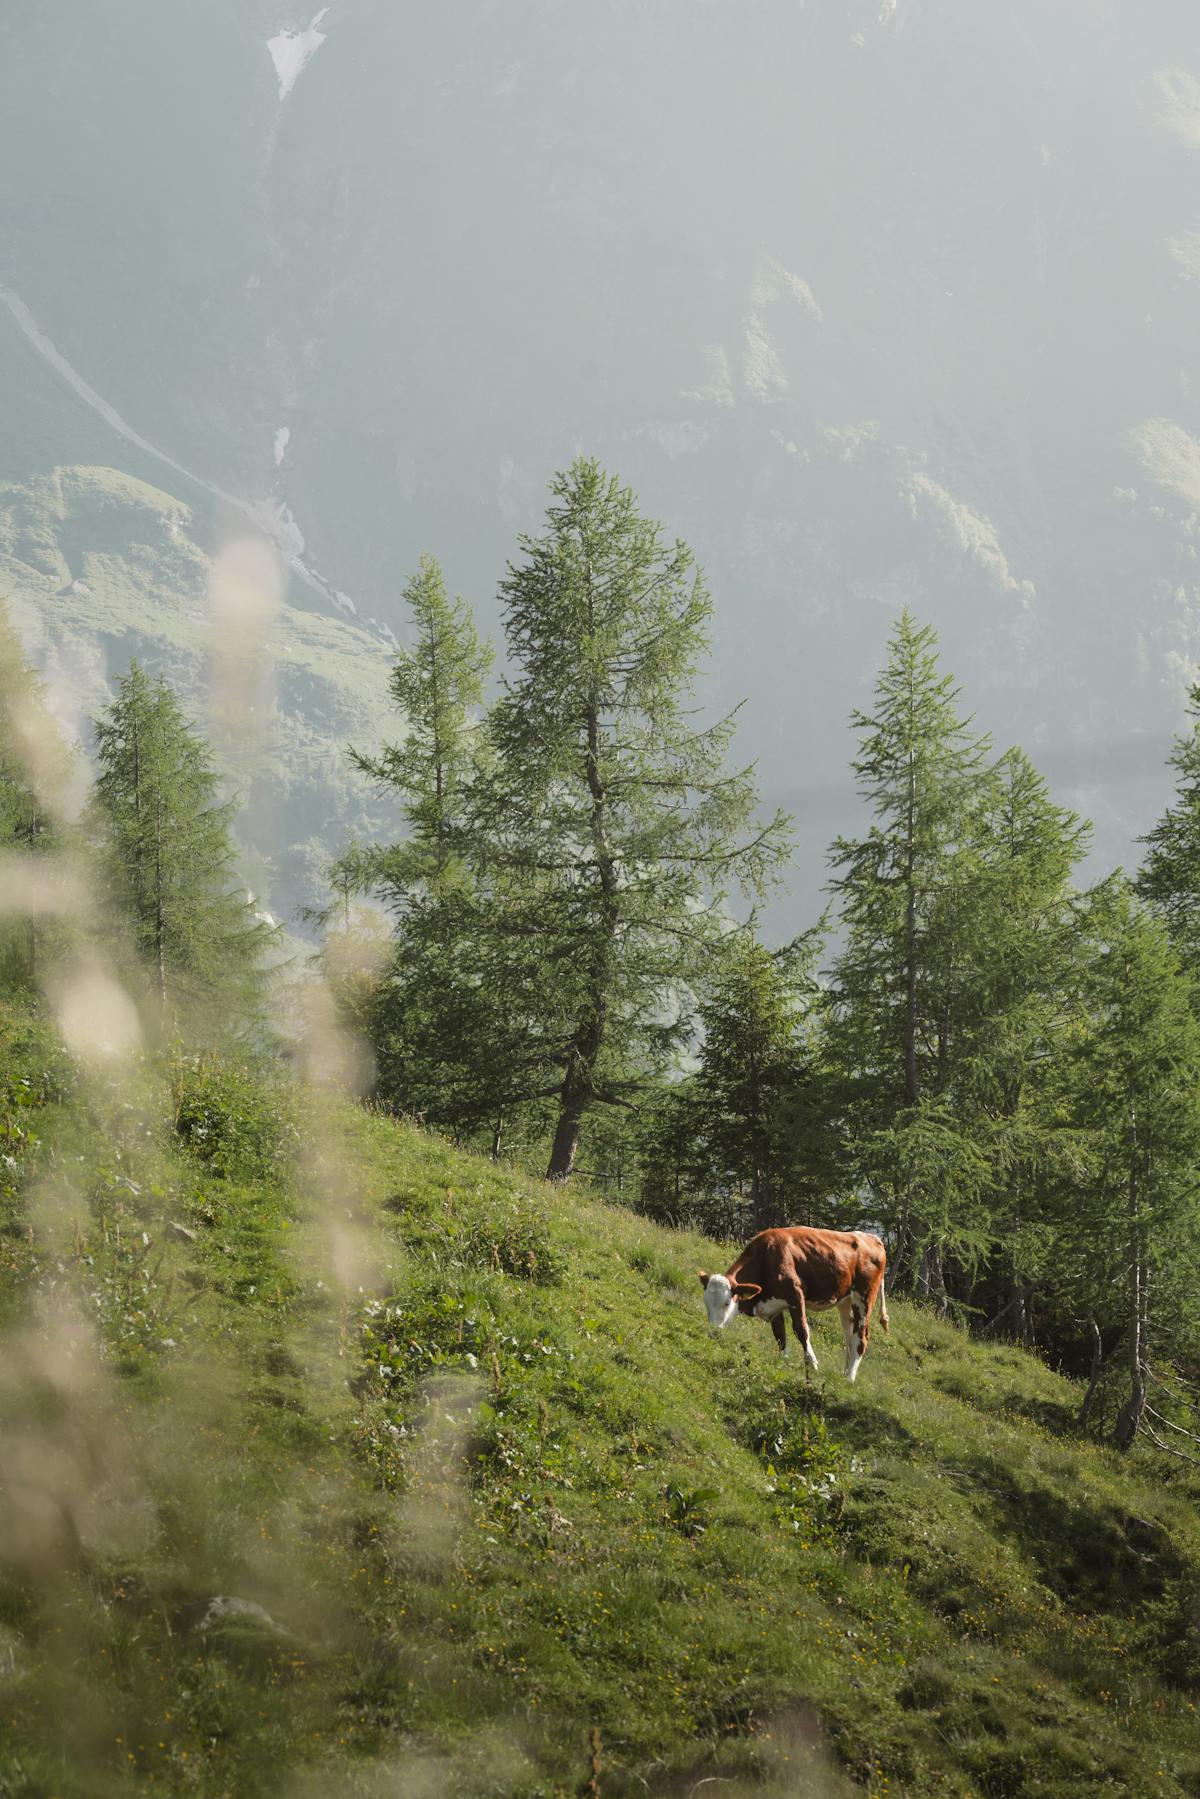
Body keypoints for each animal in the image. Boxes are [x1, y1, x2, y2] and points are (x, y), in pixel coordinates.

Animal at [698, 1227, 889, 1382]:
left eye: (726, 1303)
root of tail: (871, 1237)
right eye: (706, 1302)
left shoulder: (795, 1293)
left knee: (862, 1337)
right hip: (846, 1302)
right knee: (850, 1337)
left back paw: (850, 1378)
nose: (713, 1330)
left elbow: (801, 1330)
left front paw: (812, 1364)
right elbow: (780, 1335)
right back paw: (845, 1373)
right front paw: (784, 1361)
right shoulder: (774, 1305)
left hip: (864, 1298)